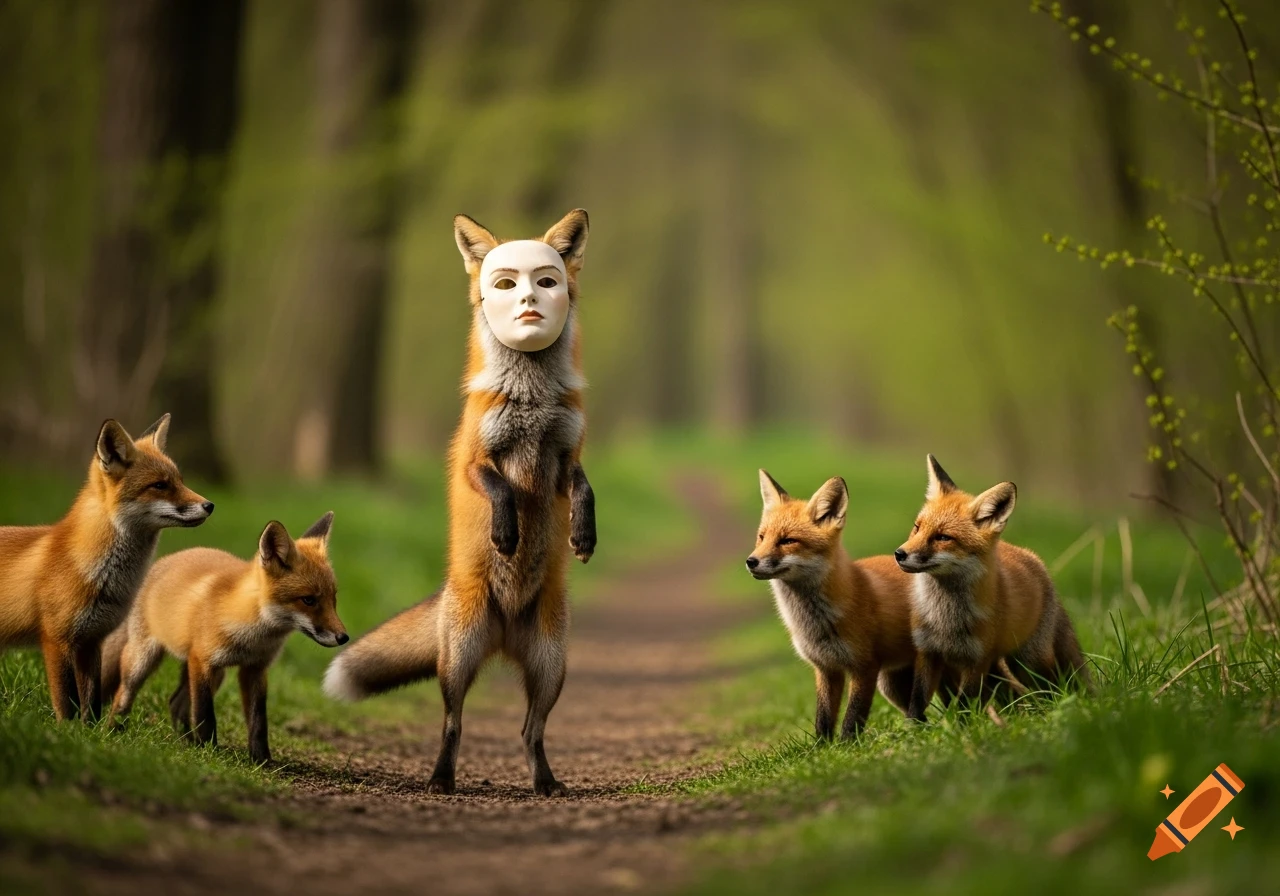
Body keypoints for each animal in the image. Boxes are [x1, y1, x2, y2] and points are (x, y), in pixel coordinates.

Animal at [0, 415, 212, 722]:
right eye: (160, 485)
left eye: (180, 482)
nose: (209, 505)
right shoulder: (57, 640)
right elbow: (66, 702)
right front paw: (67, 730)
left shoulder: (92, 640)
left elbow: (91, 701)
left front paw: (88, 730)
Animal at [103, 512, 345, 763]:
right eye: (308, 600)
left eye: (333, 599)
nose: (343, 637)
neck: (252, 637)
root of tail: (157, 565)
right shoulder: (202, 661)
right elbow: (205, 713)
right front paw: (209, 752)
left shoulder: (255, 669)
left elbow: (259, 720)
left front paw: (261, 760)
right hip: (143, 659)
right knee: (123, 694)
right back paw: (115, 730)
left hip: (213, 674)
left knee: (175, 703)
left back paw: (185, 742)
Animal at [322, 209, 595, 797]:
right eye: (506, 283)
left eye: (547, 280)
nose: (528, 303)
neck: (531, 400)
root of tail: (503, 637)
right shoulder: (475, 457)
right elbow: (498, 489)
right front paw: (506, 533)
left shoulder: (567, 456)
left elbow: (584, 489)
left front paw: (584, 534)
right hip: (460, 659)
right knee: (453, 724)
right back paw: (440, 779)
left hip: (551, 667)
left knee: (529, 731)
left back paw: (545, 783)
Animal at [746, 471, 921, 738]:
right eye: (762, 537)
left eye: (788, 541)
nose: (751, 561)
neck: (816, 622)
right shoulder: (826, 669)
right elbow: (824, 718)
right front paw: (821, 747)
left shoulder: (864, 667)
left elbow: (852, 717)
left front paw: (848, 745)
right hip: (892, 685)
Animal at [894, 454, 1091, 721]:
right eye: (917, 527)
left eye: (943, 537)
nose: (899, 554)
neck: (946, 620)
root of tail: (1035, 560)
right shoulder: (927, 653)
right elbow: (917, 700)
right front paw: (914, 728)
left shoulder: (977, 659)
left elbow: (965, 702)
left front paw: (963, 727)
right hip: (1001, 665)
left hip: (1028, 660)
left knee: (1050, 686)